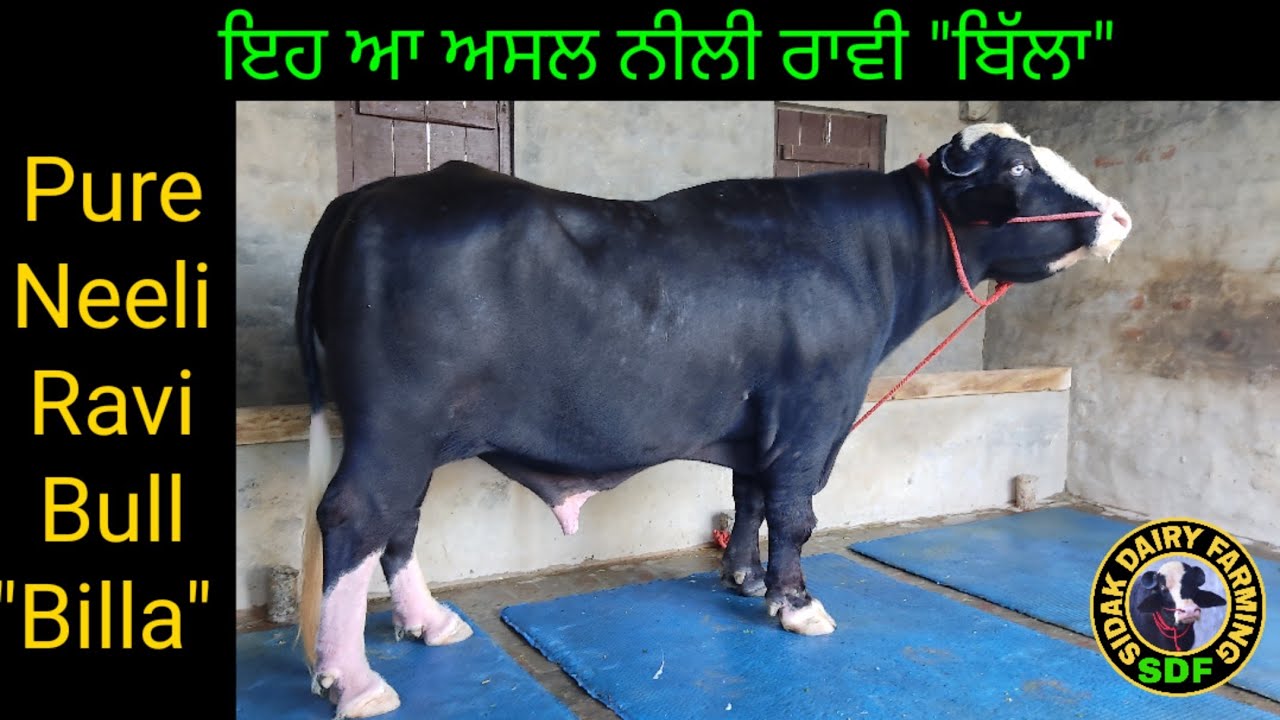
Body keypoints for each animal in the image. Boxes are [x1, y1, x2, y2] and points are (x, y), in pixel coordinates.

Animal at [292, 121, 1133, 717]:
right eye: (1017, 169)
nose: (1121, 215)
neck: (871, 262)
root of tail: (370, 196)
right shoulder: (812, 413)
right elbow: (795, 512)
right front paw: (796, 605)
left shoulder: (759, 428)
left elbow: (750, 497)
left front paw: (745, 577)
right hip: (396, 424)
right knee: (355, 516)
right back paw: (353, 680)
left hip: (417, 436)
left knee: (398, 522)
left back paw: (429, 623)